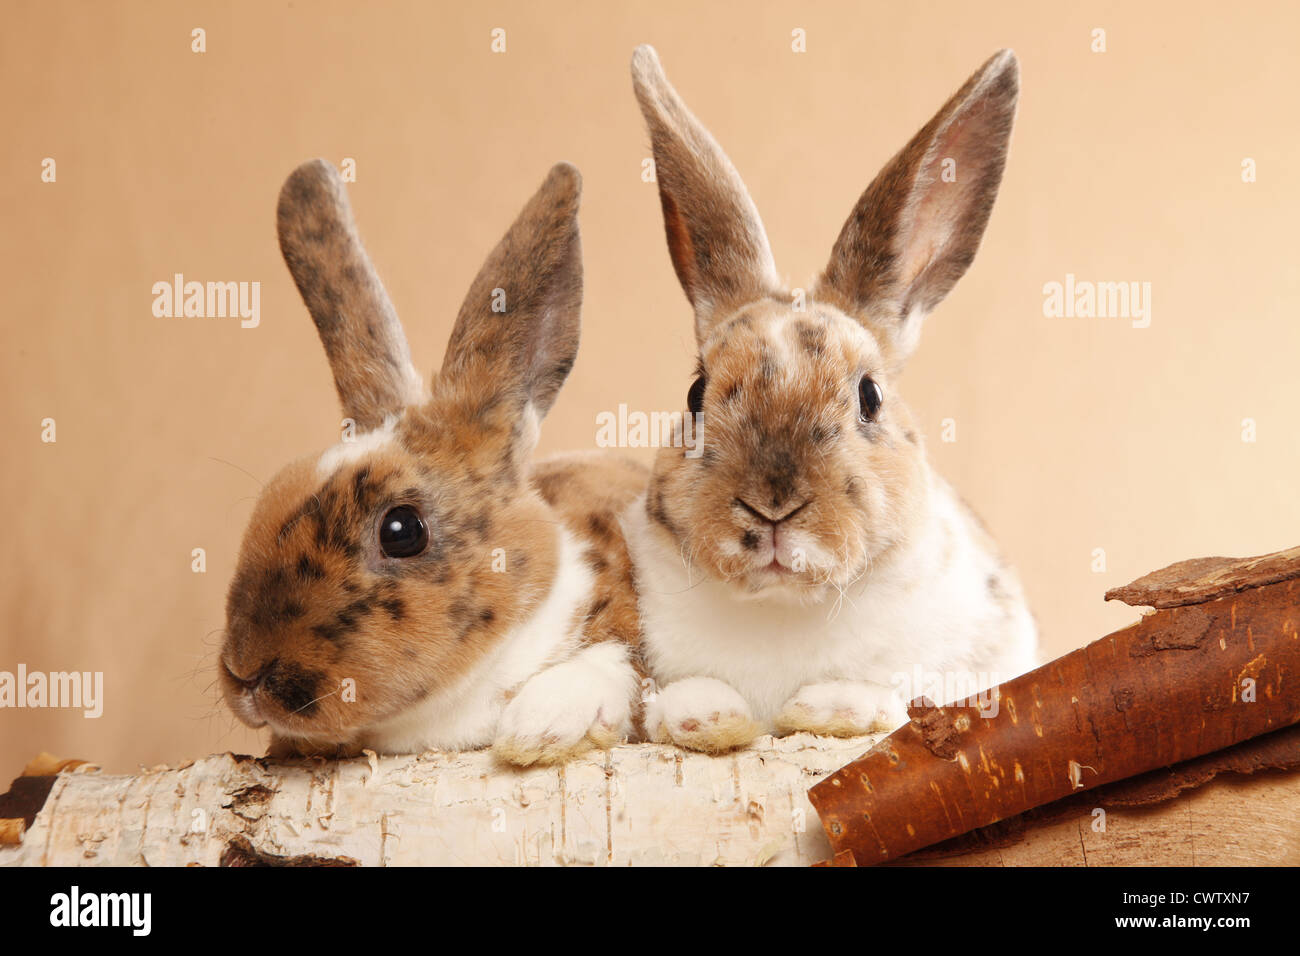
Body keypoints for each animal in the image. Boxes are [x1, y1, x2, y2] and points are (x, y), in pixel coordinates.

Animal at [624, 46, 1039, 754]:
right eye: (696, 395)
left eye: (869, 396)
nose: (772, 506)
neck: (785, 605)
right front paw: (704, 715)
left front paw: (829, 706)